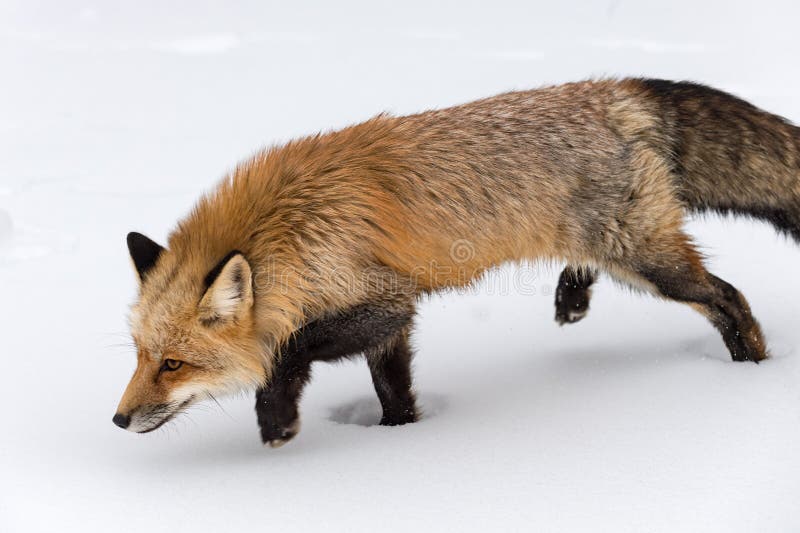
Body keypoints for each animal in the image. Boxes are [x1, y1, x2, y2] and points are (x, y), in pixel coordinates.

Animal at [114, 78, 800, 446]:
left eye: (174, 365)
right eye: (141, 356)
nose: (118, 420)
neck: (288, 227)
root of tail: (618, 92)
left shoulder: (388, 299)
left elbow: (290, 350)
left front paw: (277, 420)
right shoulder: (389, 322)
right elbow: (393, 390)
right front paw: (401, 438)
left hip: (649, 260)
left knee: (728, 298)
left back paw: (750, 368)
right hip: (611, 245)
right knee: (595, 265)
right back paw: (572, 296)